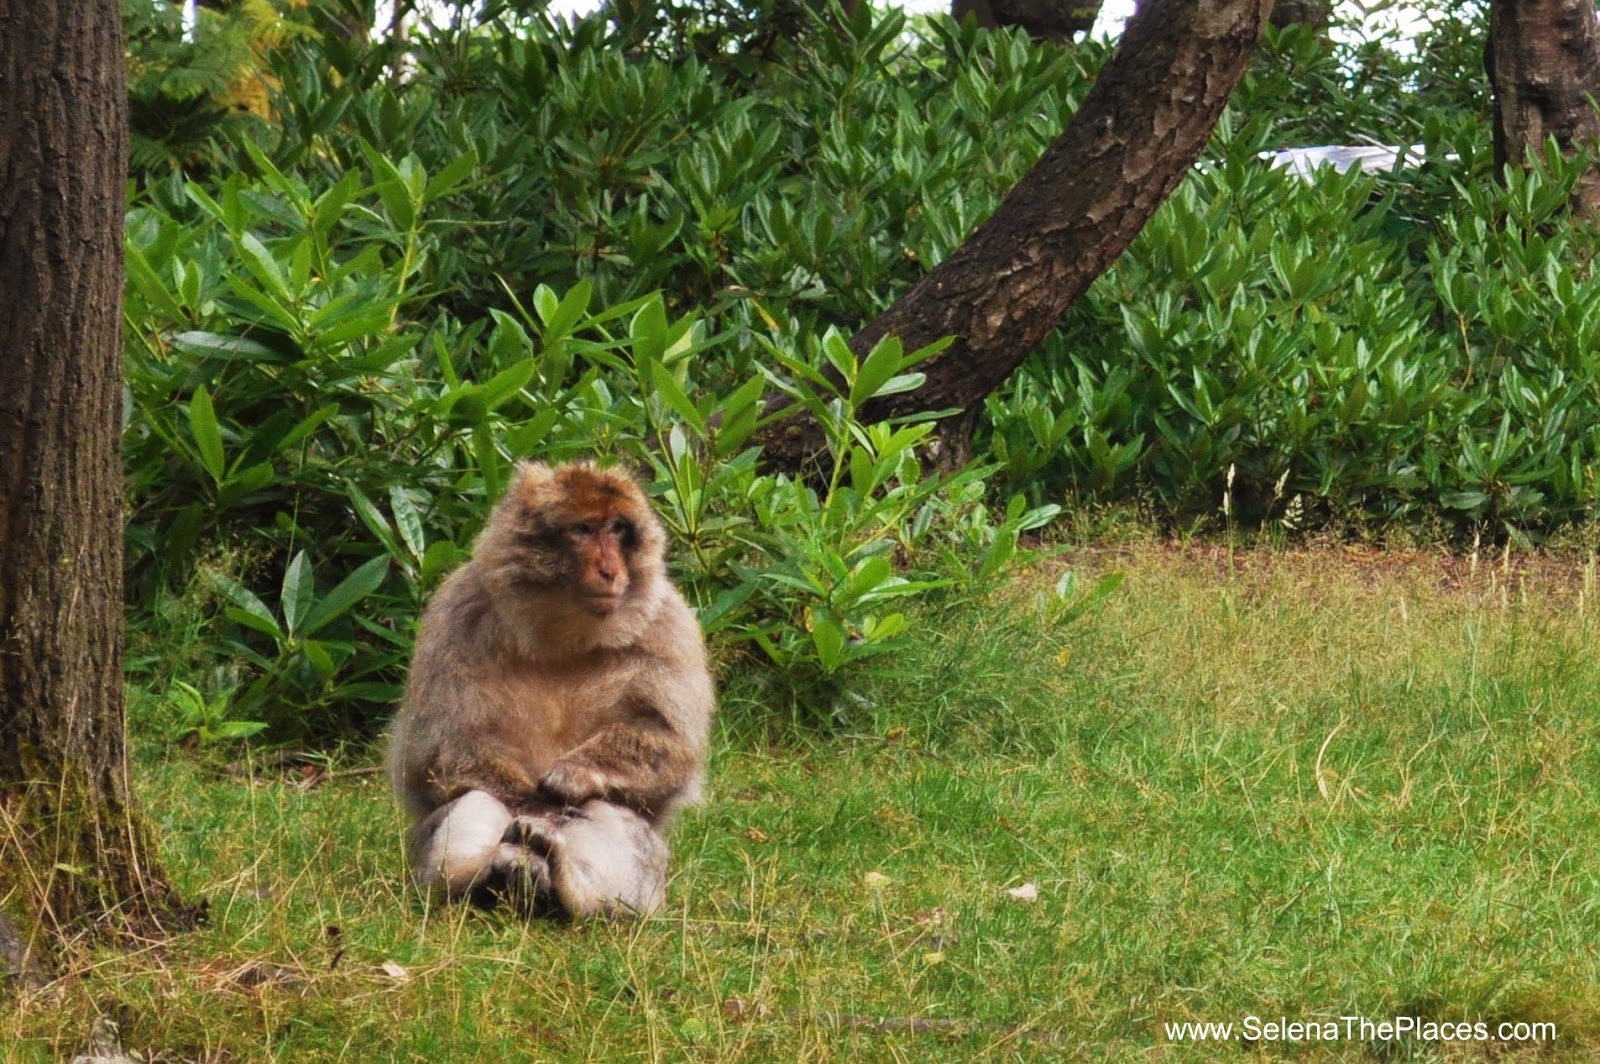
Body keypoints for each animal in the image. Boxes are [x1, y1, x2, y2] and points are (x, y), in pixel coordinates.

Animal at [388, 460, 714, 918]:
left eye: (617, 528)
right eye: (584, 529)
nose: (610, 570)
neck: (563, 633)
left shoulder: (667, 623)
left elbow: (668, 743)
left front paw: (571, 776)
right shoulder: (457, 611)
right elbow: (442, 747)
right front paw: (527, 801)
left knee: (617, 829)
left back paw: (564, 878)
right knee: (476, 805)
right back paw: (489, 874)